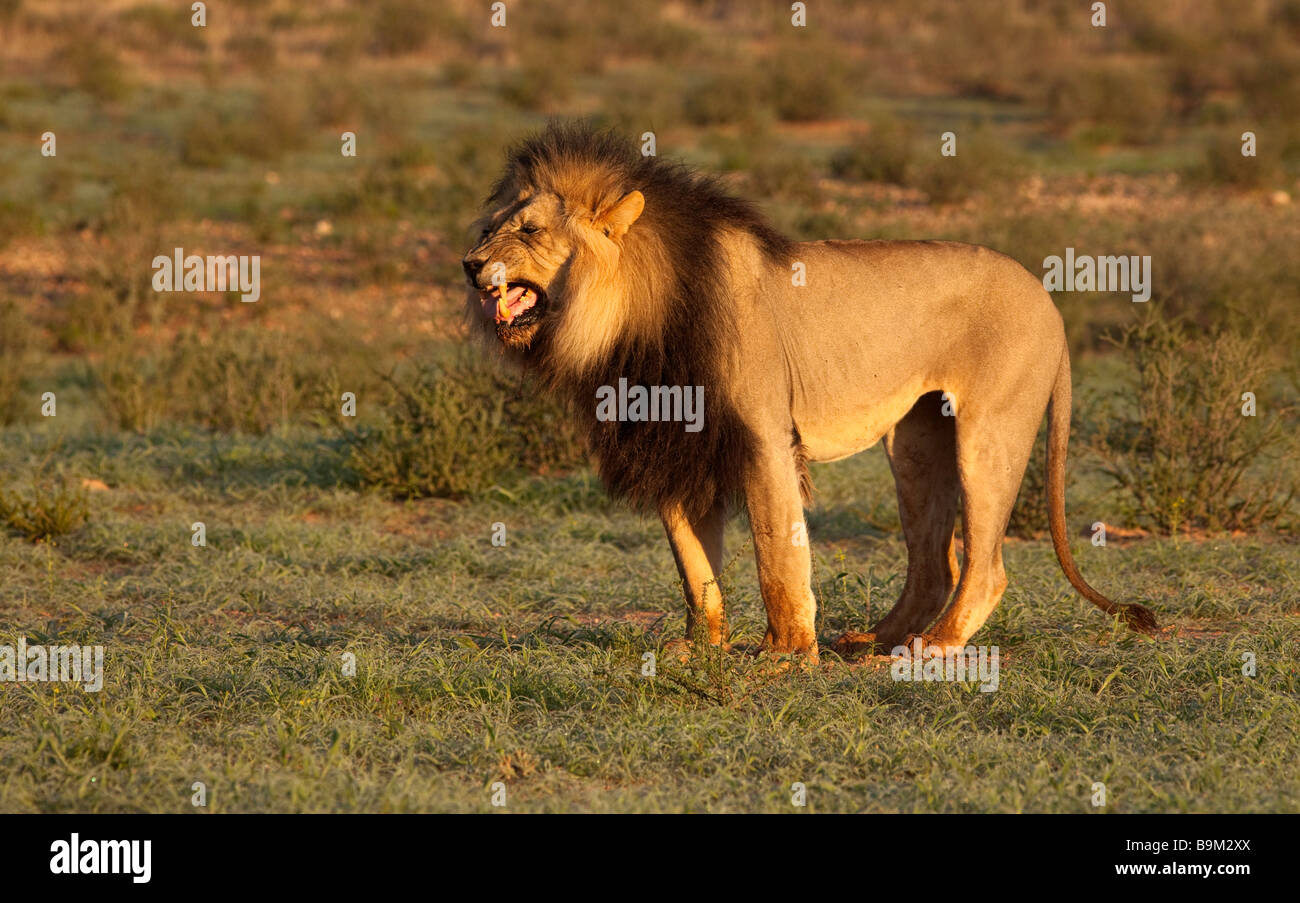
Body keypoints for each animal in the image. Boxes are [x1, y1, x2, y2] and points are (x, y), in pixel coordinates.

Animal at [462, 122, 1157, 662]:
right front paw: (701, 648)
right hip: (917, 441)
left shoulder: (763, 436)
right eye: (489, 227)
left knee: (984, 566)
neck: (632, 317)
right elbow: (694, 564)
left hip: (990, 433)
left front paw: (787, 654)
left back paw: (931, 648)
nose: (469, 265)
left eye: (528, 231)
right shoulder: (674, 443)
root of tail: (1048, 299)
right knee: (934, 563)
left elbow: (777, 550)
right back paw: (877, 642)